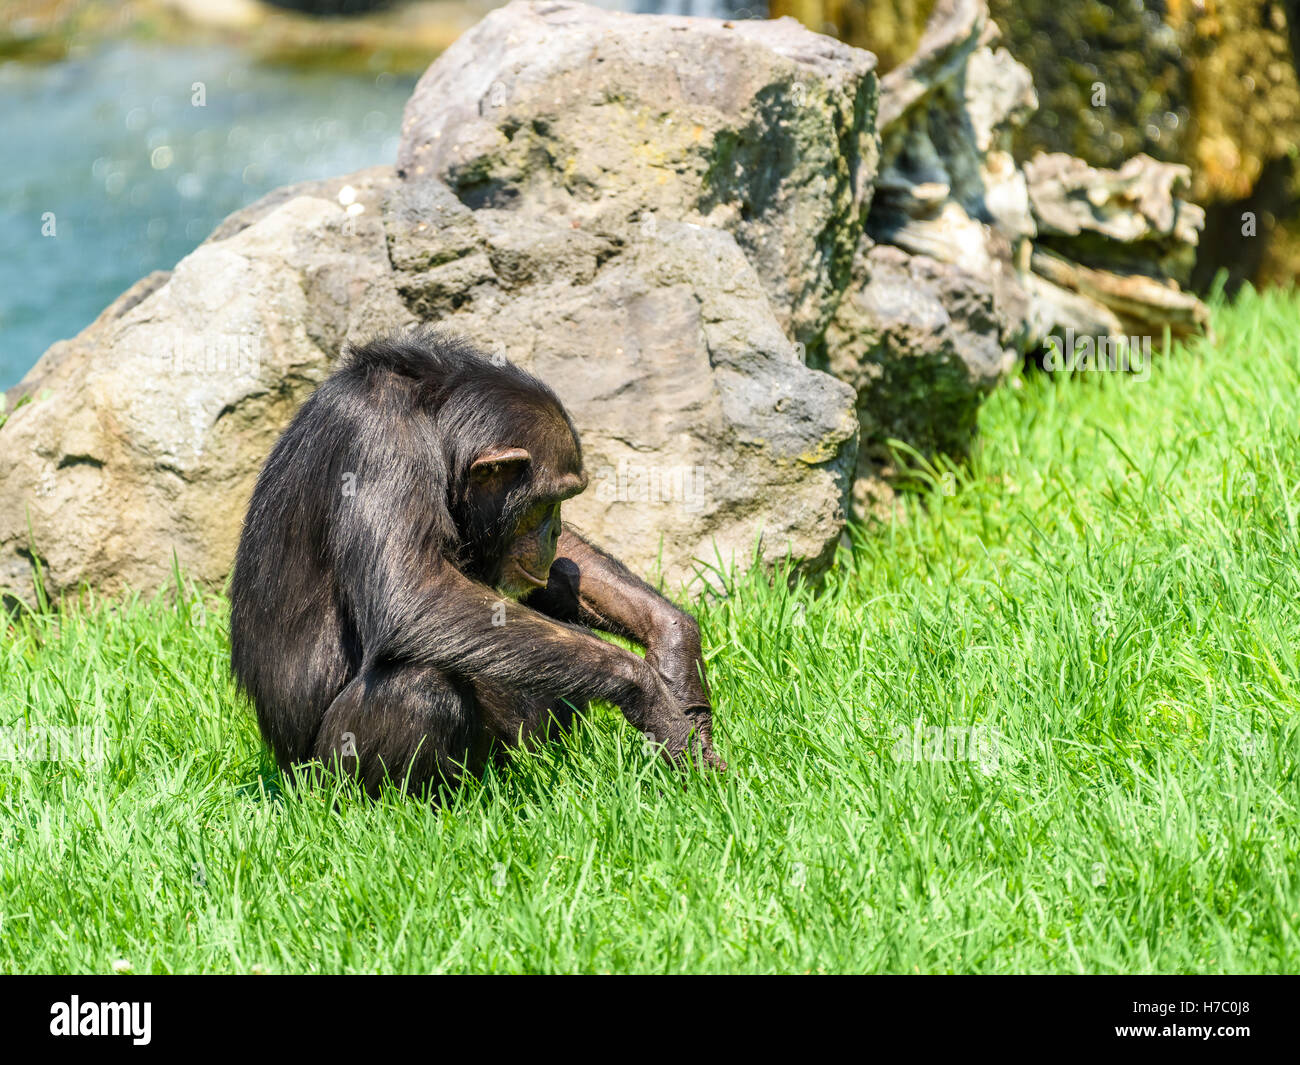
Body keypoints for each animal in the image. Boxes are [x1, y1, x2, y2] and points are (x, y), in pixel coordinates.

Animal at [229, 330, 722, 797]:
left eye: (564, 501)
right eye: (549, 502)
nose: (556, 531)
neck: (431, 419)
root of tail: (286, 777)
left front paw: (675, 648)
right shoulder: (377, 439)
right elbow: (415, 593)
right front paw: (651, 696)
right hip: (320, 779)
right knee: (419, 686)